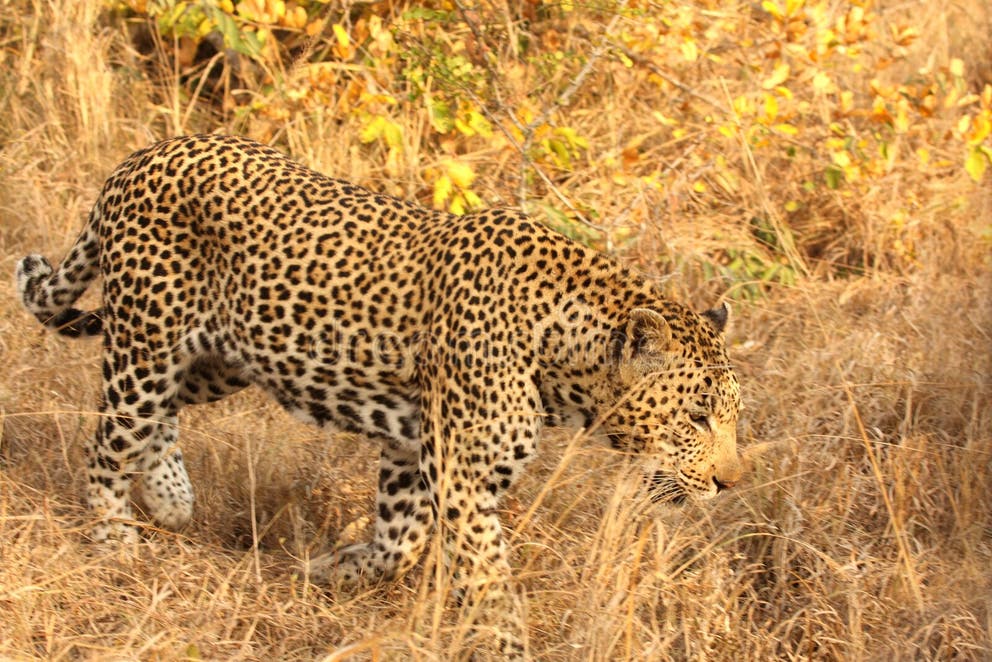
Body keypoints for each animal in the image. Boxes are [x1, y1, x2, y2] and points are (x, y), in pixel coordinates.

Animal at [16, 134, 744, 657]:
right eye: (698, 418)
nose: (729, 484)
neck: (563, 359)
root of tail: (140, 156)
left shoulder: (413, 450)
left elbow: (401, 545)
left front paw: (331, 569)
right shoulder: (461, 473)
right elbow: (489, 585)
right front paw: (506, 646)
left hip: (228, 353)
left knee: (156, 415)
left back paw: (169, 495)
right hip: (149, 341)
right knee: (108, 442)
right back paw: (116, 543)